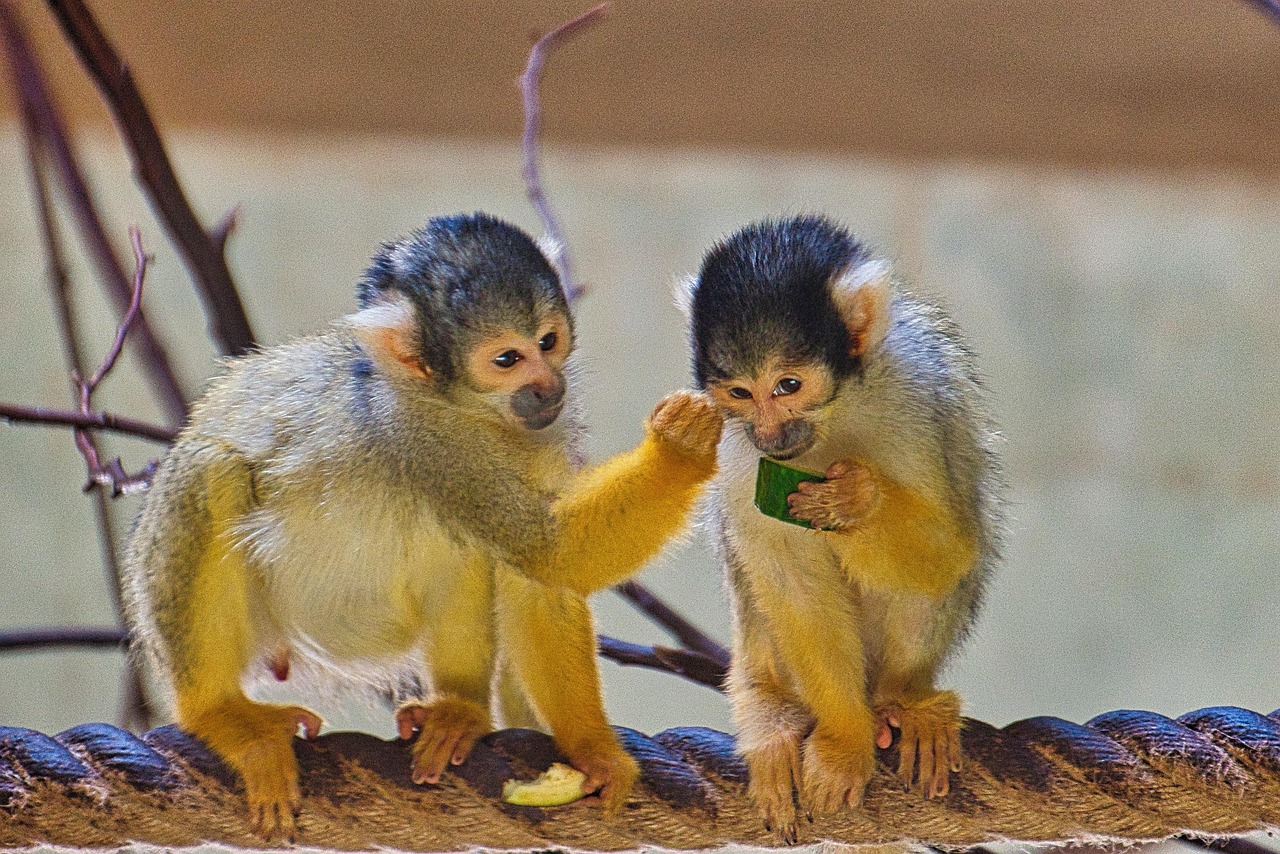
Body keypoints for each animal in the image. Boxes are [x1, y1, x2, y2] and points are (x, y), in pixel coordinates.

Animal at [123, 212, 724, 840]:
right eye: (507, 360)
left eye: (548, 342)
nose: (548, 386)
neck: (466, 409)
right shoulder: (427, 437)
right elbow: (547, 546)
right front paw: (679, 447)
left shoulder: (545, 431)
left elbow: (538, 572)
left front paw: (591, 750)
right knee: (210, 470)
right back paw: (218, 713)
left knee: (468, 549)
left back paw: (460, 710)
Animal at [676, 215, 1004, 840]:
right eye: (741, 393)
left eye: (788, 386)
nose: (770, 432)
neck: (834, 416)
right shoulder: (741, 455)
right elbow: (794, 580)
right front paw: (847, 741)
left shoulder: (914, 396)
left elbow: (953, 547)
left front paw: (857, 502)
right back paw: (774, 717)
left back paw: (904, 700)